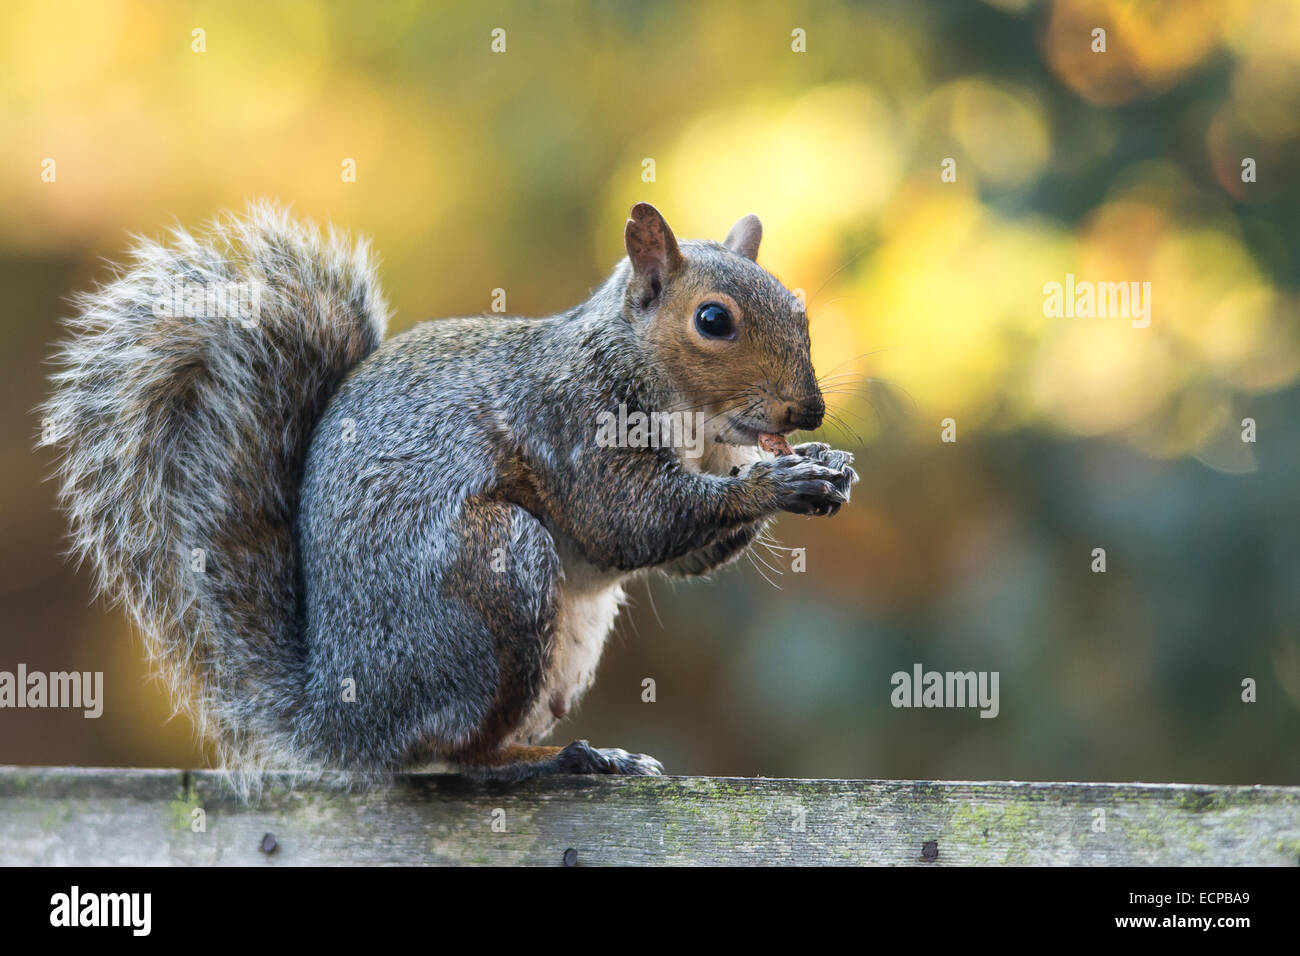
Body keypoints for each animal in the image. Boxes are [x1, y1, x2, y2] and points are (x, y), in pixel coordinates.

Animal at [42, 201, 858, 787]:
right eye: (713, 320)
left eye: (799, 309)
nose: (809, 412)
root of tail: (343, 718)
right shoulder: (572, 425)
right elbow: (631, 521)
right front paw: (780, 480)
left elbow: (683, 554)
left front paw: (824, 465)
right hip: (497, 574)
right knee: (460, 755)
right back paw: (561, 762)